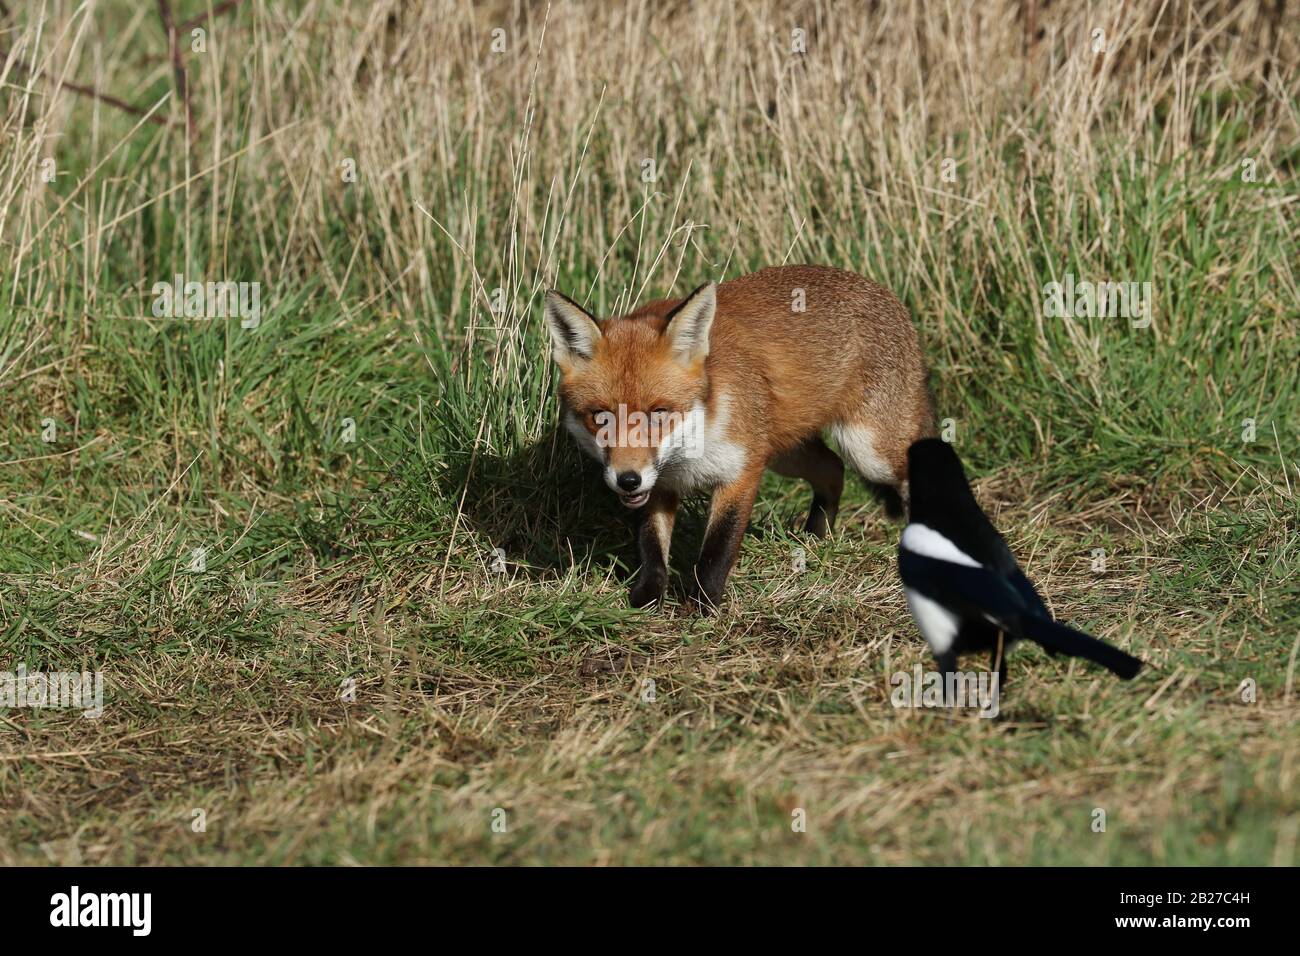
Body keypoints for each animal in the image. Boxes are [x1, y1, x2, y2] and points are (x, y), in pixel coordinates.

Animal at [545, 264, 936, 613]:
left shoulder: (741, 471)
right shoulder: (659, 484)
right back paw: (814, 537)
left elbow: (718, 547)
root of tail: (886, 293)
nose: (627, 480)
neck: (692, 448)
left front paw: (703, 605)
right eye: (600, 417)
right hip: (786, 454)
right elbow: (651, 546)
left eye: (659, 413)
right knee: (832, 469)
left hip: (868, 450)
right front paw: (647, 596)